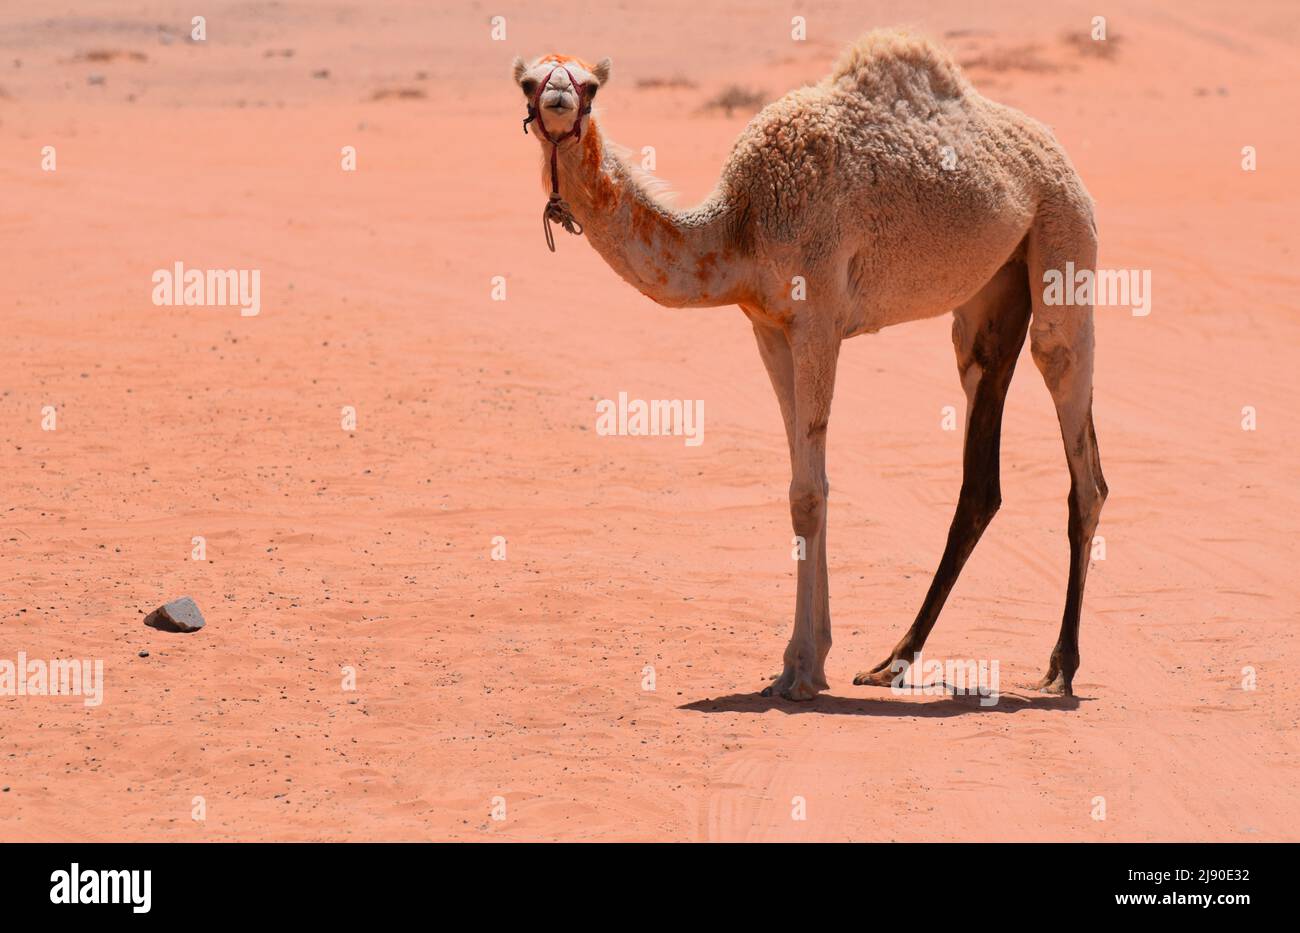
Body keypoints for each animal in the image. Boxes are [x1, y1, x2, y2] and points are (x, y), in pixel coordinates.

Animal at [512, 30, 1107, 700]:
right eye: (529, 82)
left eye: (589, 86)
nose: (559, 100)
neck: (738, 224)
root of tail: (1059, 156)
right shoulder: (769, 327)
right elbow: (803, 477)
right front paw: (811, 657)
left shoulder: (818, 317)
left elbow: (808, 491)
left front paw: (798, 670)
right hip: (986, 298)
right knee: (982, 459)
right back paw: (892, 661)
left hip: (1064, 241)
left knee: (1079, 443)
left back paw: (1060, 668)